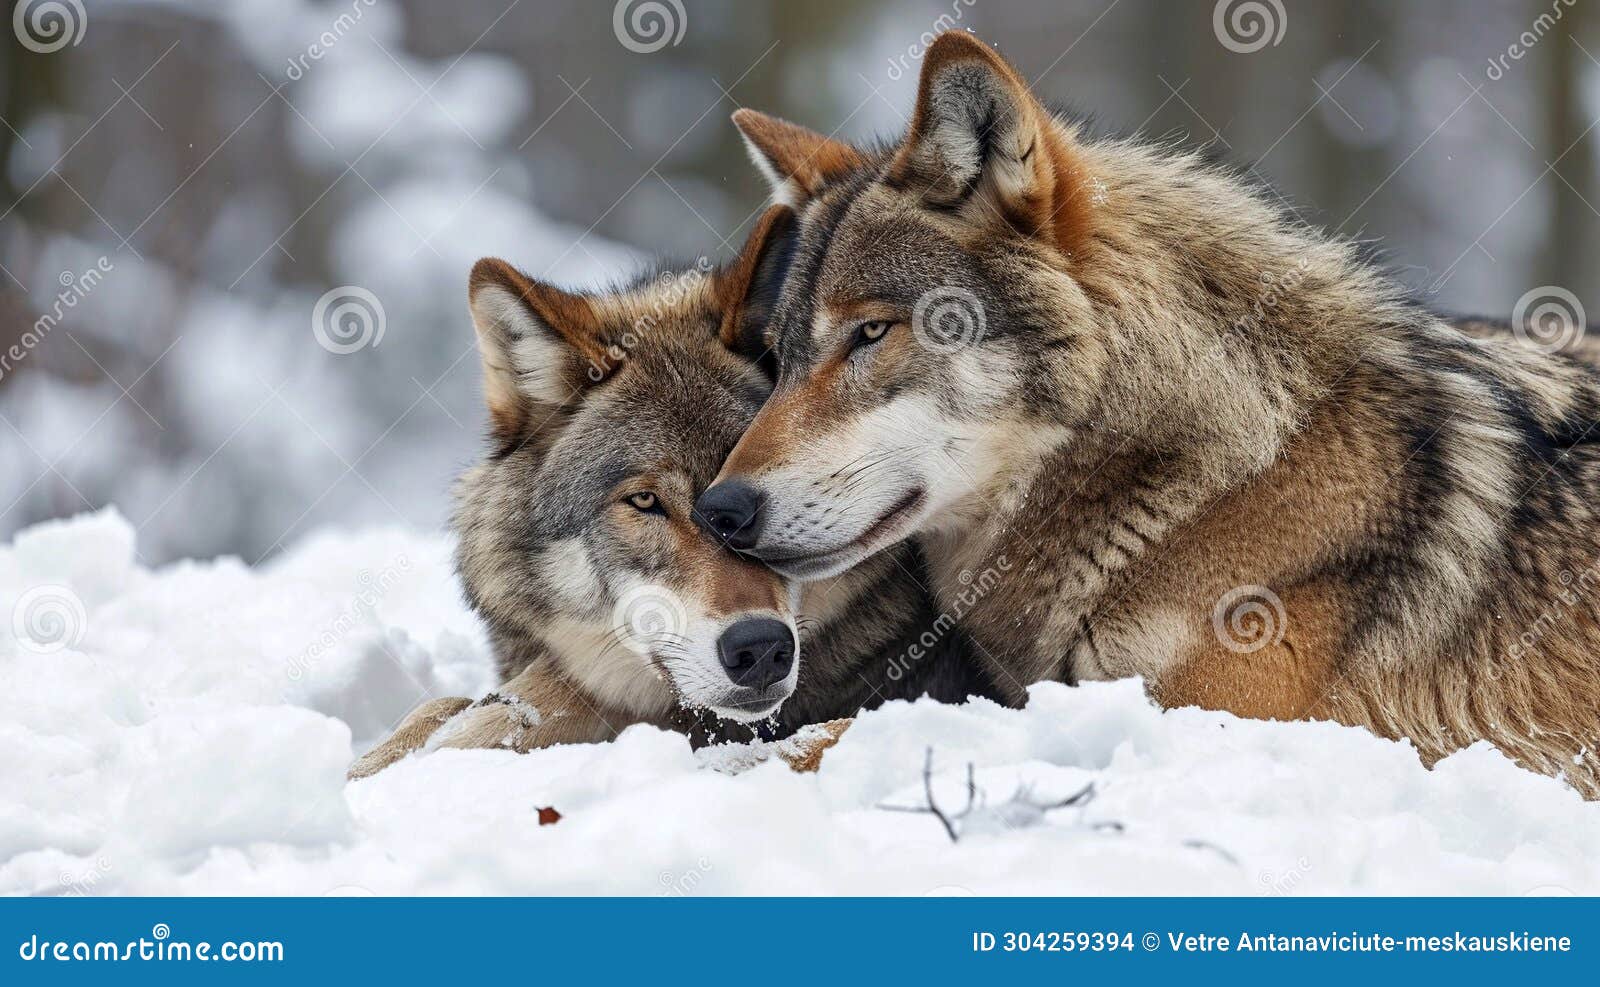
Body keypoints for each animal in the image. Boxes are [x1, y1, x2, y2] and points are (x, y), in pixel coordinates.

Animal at [695, 32, 1600, 796]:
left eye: (871, 332)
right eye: (781, 359)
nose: (718, 510)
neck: (1199, 492)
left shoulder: (1217, 723)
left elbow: (831, 736)